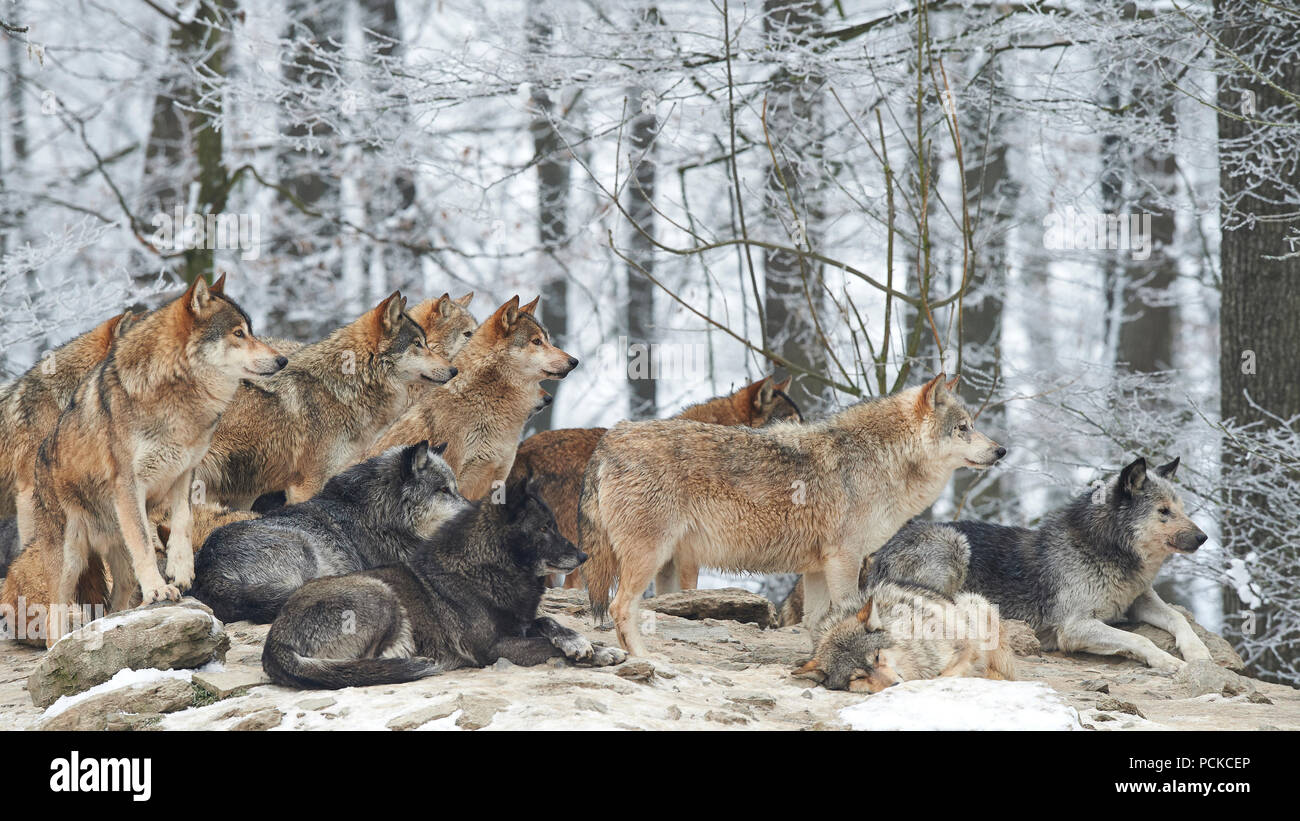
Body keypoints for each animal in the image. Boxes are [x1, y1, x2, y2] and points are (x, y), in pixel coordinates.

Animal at [21, 275, 285, 643]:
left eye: (250, 331)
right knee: (54, 620)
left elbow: (183, 522)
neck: (177, 396)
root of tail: (39, 460)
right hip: (69, 561)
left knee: (117, 603)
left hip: (118, 563)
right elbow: (147, 545)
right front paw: (160, 590)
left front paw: (180, 570)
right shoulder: (130, 486)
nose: (282, 360)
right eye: (238, 333)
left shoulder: (185, 473)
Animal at [191, 442, 469, 623]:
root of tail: (208, 571)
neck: (377, 514)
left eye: (455, 488)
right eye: (444, 490)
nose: (473, 508)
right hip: (303, 547)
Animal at [261, 476, 626, 689]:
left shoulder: (521, 623)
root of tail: (274, 642)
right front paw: (597, 652)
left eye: (553, 525)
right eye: (543, 528)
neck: (486, 569)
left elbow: (547, 621)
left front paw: (582, 641)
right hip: (379, 592)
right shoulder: (493, 648)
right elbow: (544, 644)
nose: (583, 556)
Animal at [579, 373, 1004, 656]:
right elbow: (849, 611)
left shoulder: (815, 569)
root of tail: (609, 439)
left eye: (974, 425)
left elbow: (815, 622)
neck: (881, 459)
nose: (1001, 450)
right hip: (649, 557)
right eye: (962, 428)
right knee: (619, 607)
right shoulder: (845, 560)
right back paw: (644, 658)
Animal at [873, 457, 1211, 671]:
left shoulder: (1139, 599)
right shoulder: (1075, 627)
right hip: (953, 544)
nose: (1203, 537)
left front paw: (1198, 652)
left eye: (1181, 508)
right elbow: (1138, 638)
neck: (1100, 548)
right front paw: (1168, 661)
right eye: (1163, 511)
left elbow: (1177, 619)